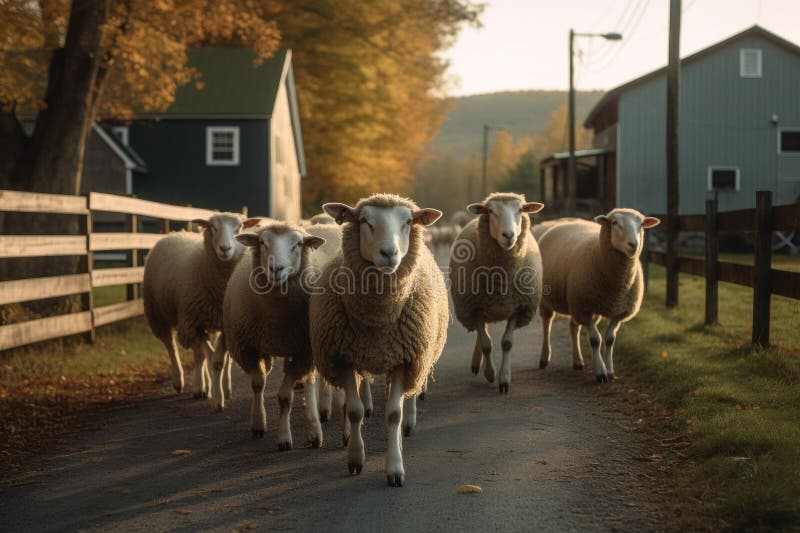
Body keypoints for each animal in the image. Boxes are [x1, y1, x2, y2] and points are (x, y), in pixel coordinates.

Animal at [143, 213, 258, 398]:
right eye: (213, 228)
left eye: (239, 228)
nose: (225, 248)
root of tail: (174, 233)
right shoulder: (193, 322)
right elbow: (211, 356)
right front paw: (215, 390)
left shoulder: (224, 324)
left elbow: (219, 357)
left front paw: (223, 387)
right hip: (157, 311)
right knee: (170, 345)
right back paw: (181, 381)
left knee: (198, 354)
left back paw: (203, 386)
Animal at [220, 221, 330, 449]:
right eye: (262, 243)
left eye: (298, 244)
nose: (276, 269)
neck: (275, 319)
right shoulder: (247, 347)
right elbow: (257, 383)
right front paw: (257, 424)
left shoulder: (303, 351)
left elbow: (285, 396)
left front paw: (284, 438)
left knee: (309, 381)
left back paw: (315, 427)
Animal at [309, 193, 449, 487]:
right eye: (365, 221)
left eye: (407, 222)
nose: (389, 253)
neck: (377, 321)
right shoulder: (344, 357)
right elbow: (354, 410)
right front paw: (355, 458)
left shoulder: (404, 358)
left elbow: (393, 414)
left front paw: (395, 468)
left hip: (417, 359)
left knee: (408, 396)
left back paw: (407, 424)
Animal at [449, 193, 544, 394]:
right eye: (491, 211)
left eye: (520, 210)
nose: (508, 235)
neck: (502, 281)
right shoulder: (475, 308)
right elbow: (486, 344)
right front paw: (490, 373)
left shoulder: (518, 308)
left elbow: (506, 343)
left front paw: (504, 379)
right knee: (481, 334)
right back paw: (477, 364)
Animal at [537, 209, 660, 382]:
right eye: (615, 223)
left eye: (642, 224)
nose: (633, 245)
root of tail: (566, 220)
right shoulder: (585, 308)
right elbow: (595, 340)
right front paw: (600, 372)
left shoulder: (618, 312)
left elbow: (609, 339)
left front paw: (610, 371)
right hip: (548, 299)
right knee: (547, 324)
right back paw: (544, 358)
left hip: (577, 303)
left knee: (573, 327)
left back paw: (578, 362)